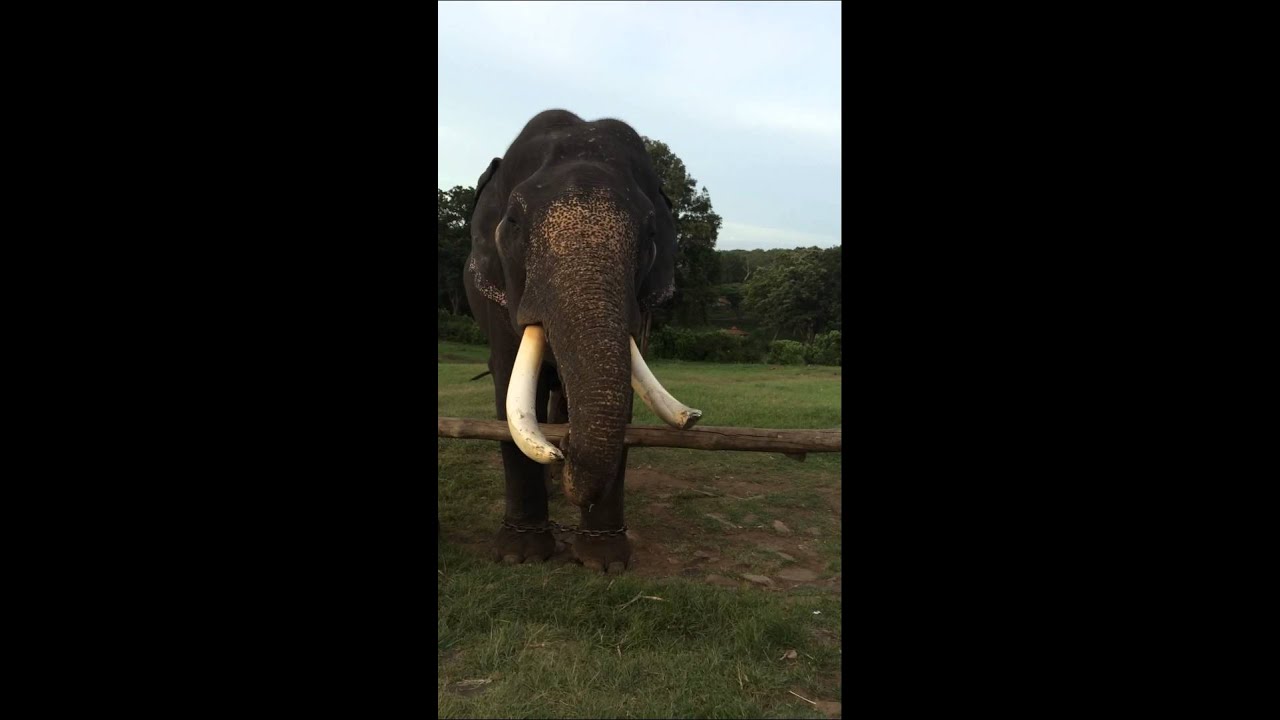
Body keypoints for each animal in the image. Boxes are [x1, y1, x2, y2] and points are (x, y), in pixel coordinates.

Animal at [458, 109, 701, 574]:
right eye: (512, 222)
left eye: (650, 234)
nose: (565, 453)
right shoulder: (497, 293)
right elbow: (509, 386)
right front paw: (519, 555)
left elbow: (627, 394)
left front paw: (603, 563)